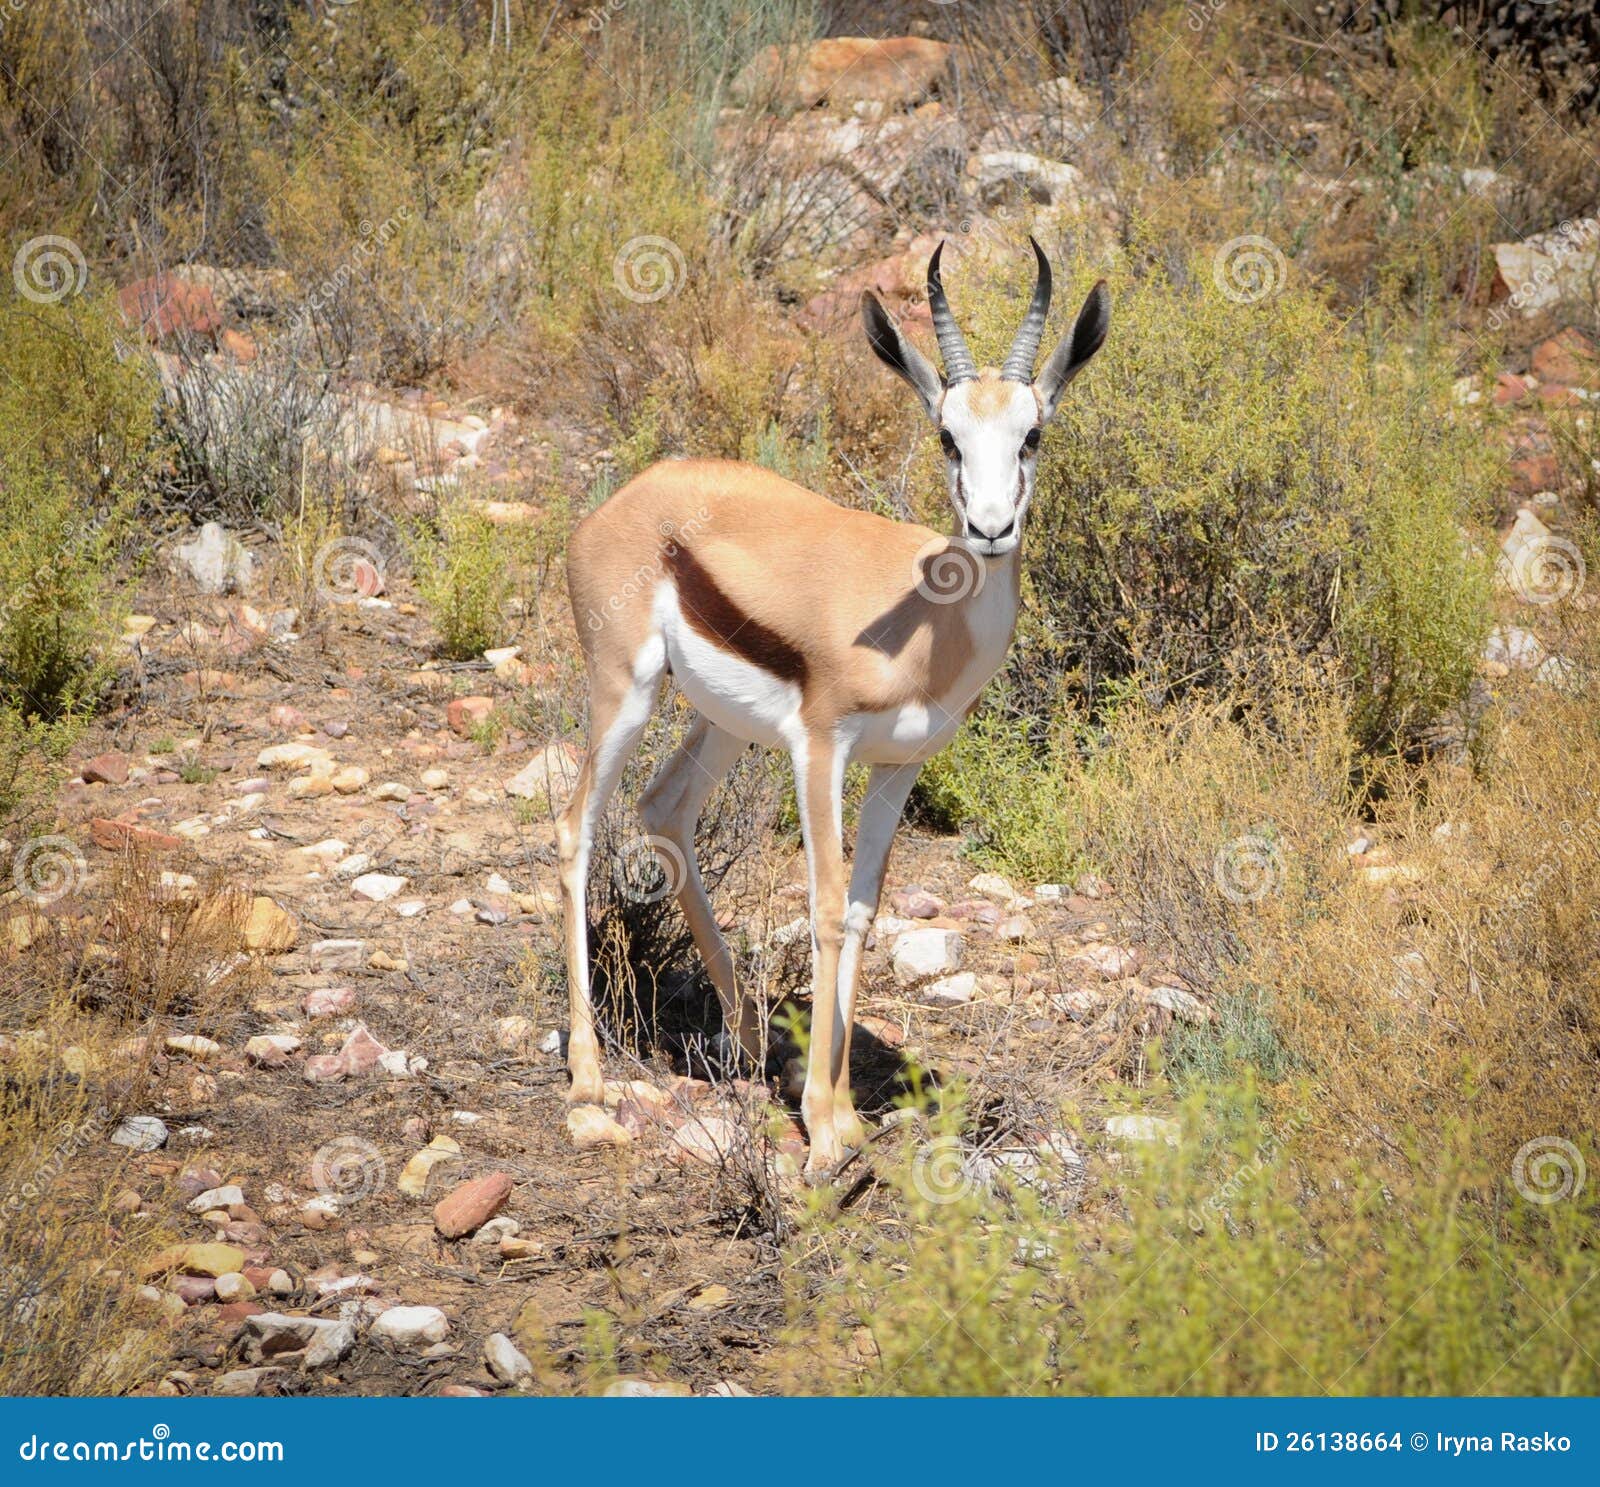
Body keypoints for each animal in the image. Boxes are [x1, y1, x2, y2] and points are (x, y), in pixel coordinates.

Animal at [557, 239, 1109, 1176]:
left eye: (1032, 432)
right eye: (947, 436)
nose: (990, 528)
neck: (925, 620)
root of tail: (627, 499)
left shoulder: (898, 766)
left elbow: (859, 911)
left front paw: (844, 1110)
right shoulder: (820, 746)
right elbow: (819, 905)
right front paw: (821, 1127)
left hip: (719, 724)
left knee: (664, 807)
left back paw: (750, 1041)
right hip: (623, 693)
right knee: (576, 826)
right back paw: (591, 1075)